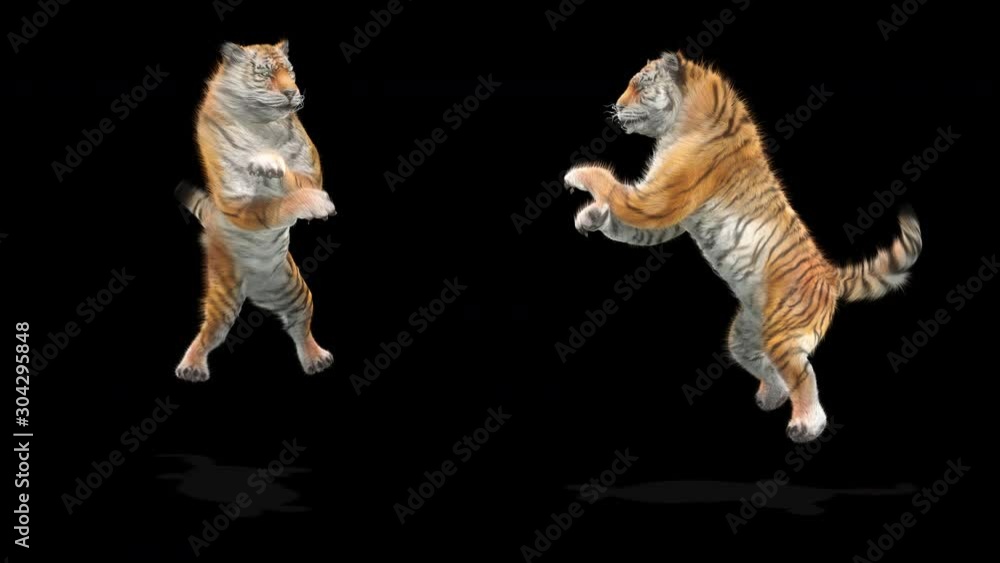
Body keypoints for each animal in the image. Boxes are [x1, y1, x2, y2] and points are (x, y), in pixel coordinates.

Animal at [175, 40, 337, 382]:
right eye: (264, 74)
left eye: (290, 72)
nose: (291, 92)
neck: (263, 126)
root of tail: (256, 286)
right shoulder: (236, 202)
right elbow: (274, 204)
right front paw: (266, 164)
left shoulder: (312, 174)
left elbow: (293, 178)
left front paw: (270, 165)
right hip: (223, 294)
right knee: (207, 334)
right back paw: (191, 367)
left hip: (292, 288)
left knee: (300, 325)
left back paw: (316, 359)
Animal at [566, 51, 922, 442]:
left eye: (640, 86)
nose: (616, 106)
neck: (683, 120)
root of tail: (830, 275)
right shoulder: (670, 217)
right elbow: (626, 225)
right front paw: (591, 217)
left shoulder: (657, 199)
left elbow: (610, 183)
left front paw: (576, 175)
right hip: (747, 335)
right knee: (771, 368)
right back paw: (769, 398)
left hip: (783, 334)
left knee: (804, 375)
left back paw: (805, 426)